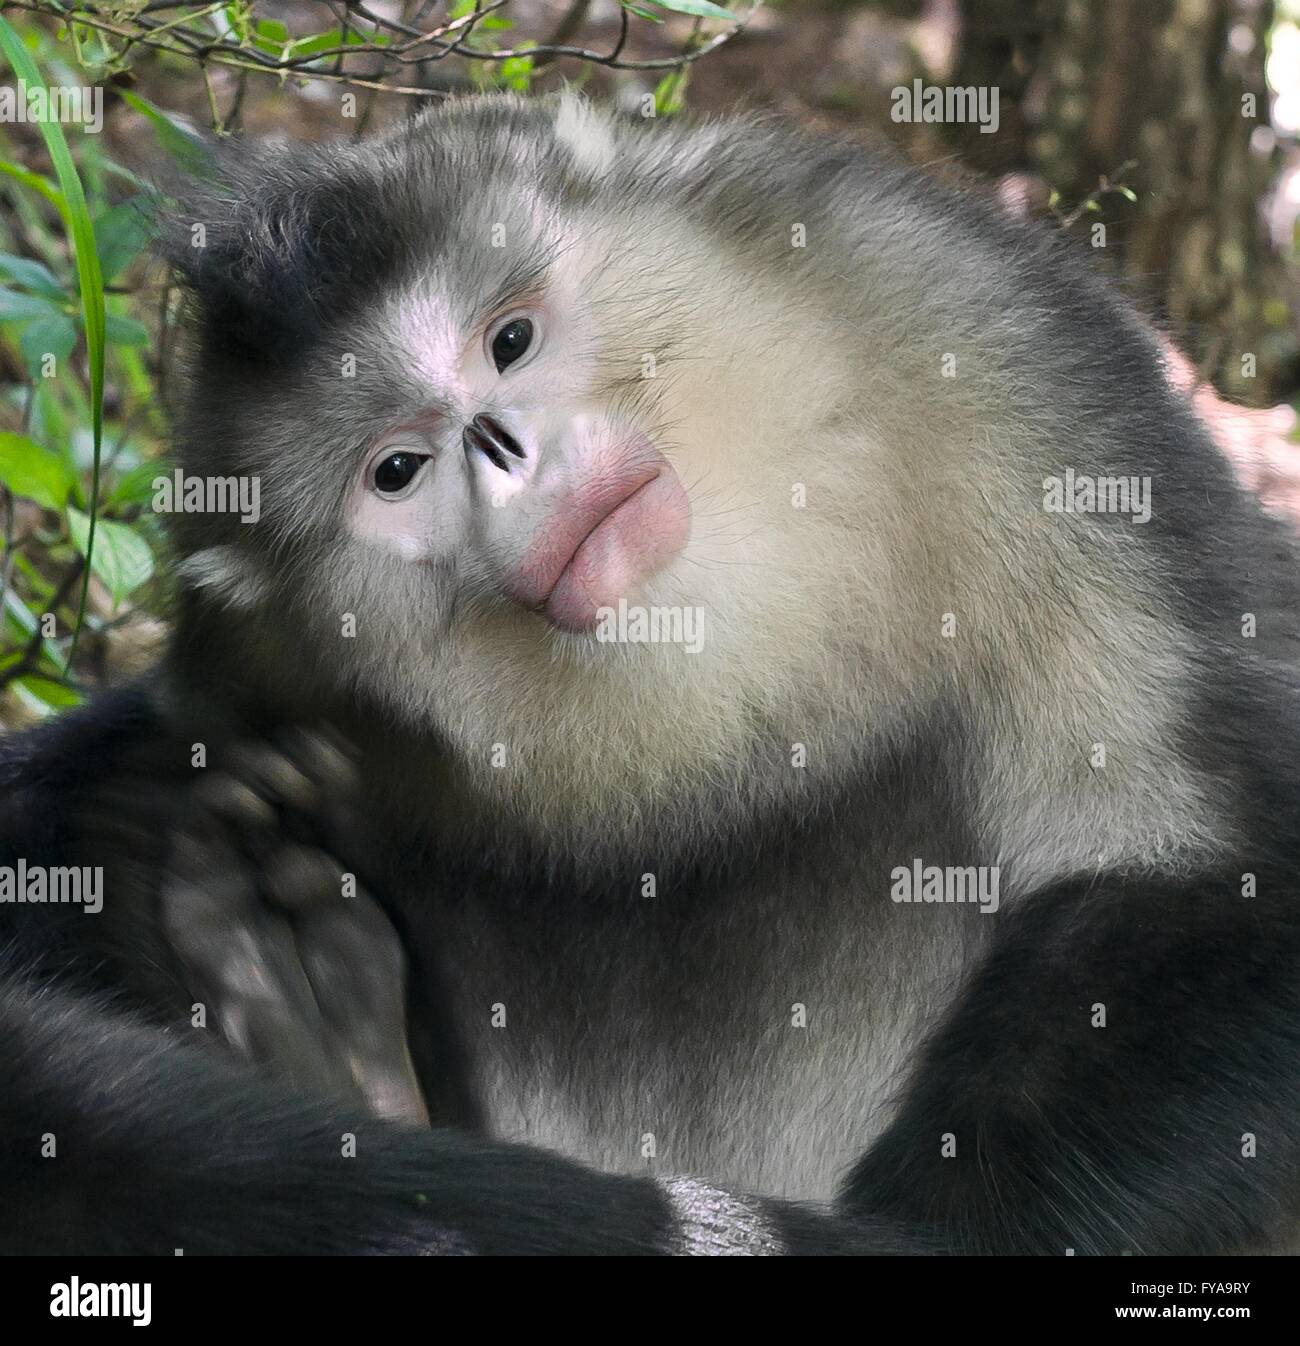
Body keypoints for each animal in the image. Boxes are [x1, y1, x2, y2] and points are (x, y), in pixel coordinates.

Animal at [4, 89, 1300, 1255]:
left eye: (510, 341)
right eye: (397, 470)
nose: (504, 445)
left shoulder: (978, 329)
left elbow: (1203, 867)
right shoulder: (238, 677)